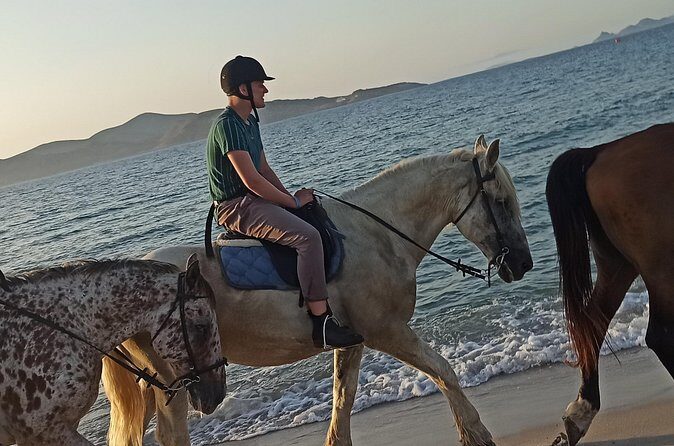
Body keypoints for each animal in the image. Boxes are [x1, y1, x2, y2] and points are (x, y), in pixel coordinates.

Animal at [102, 135, 533, 446]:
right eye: (500, 202)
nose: (523, 264)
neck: (377, 235)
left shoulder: (352, 340)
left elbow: (342, 401)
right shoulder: (388, 332)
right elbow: (445, 372)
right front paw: (476, 435)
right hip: (176, 379)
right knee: (171, 436)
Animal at [546, 123, 674, 446]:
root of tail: (599, 151)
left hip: (617, 264)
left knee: (593, 320)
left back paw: (581, 412)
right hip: (659, 263)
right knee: (661, 335)